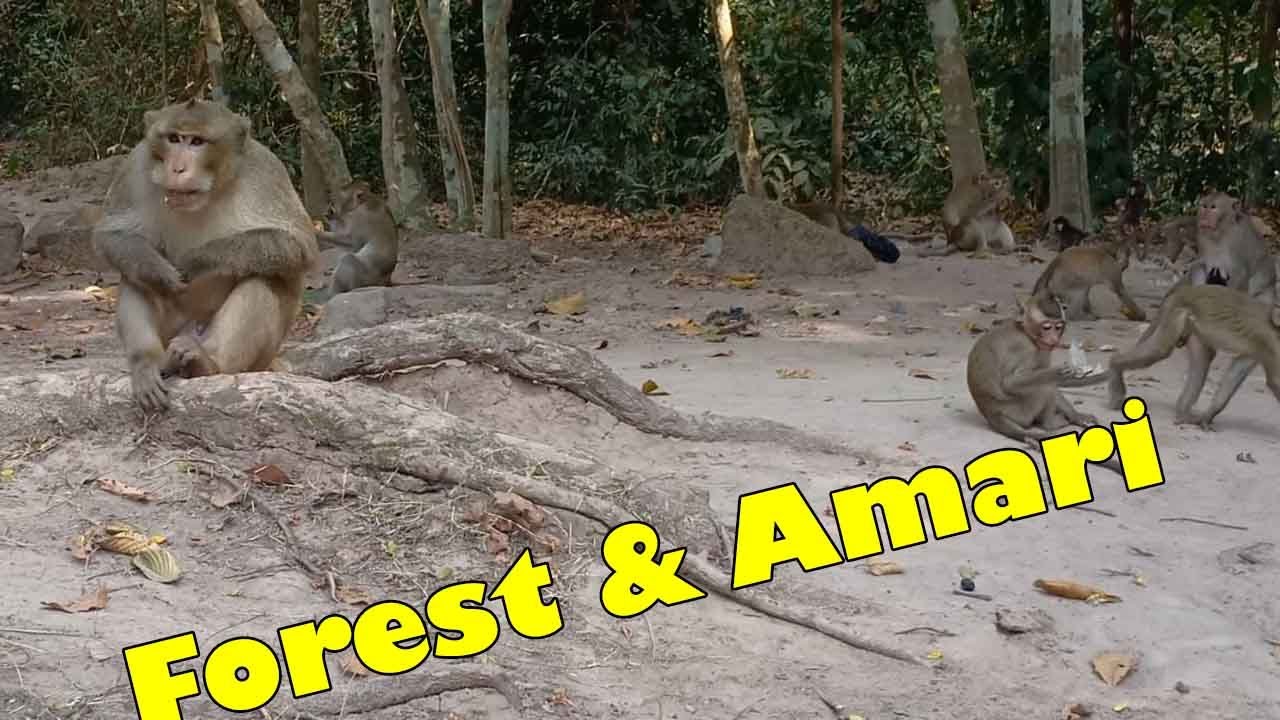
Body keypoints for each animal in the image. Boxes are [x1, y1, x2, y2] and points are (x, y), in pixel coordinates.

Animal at [91, 98, 318, 413]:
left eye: (197, 142)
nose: (177, 168)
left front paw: (198, 260)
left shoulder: (265, 171)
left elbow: (298, 245)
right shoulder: (136, 166)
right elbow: (112, 235)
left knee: (263, 277)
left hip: (250, 354)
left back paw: (207, 363)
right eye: (174, 138)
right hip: (171, 329)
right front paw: (159, 270)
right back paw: (148, 363)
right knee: (134, 278)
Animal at [1106, 283, 1280, 430]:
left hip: (1193, 327)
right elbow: (1274, 381)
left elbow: (1236, 371)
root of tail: (1183, 292)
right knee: (1159, 351)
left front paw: (1208, 416)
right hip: (1177, 315)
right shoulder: (1272, 344)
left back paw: (1183, 413)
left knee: (1204, 359)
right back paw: (1115, 365)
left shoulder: (1262, 350)